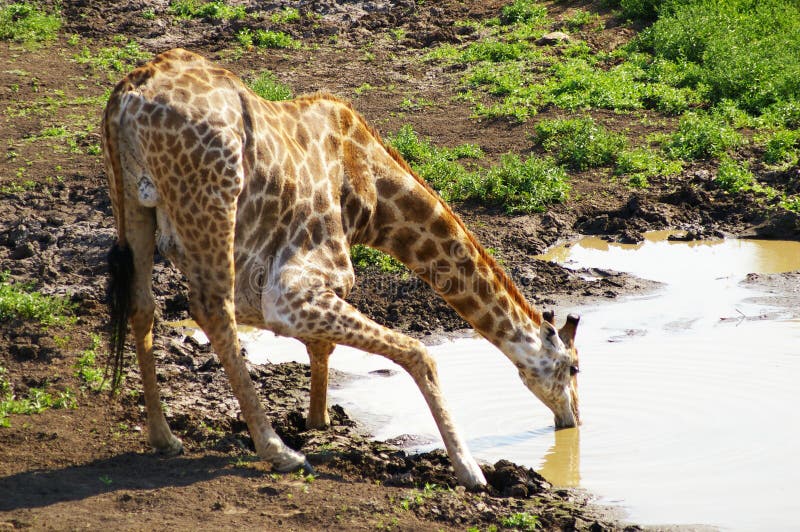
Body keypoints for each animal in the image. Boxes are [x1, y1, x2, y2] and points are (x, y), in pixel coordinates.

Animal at [102, 48, 580, 489]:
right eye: (573, 368)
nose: (573, 418)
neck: (370, 189)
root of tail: (126, 96)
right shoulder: (291, 288)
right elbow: (419, 353)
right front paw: (469, 469)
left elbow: (323, 346)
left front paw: (318, 421)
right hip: (212, 203)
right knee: (211, 307)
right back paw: (280, 452)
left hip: (133, 204)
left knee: (143, 305)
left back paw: (164, 438)